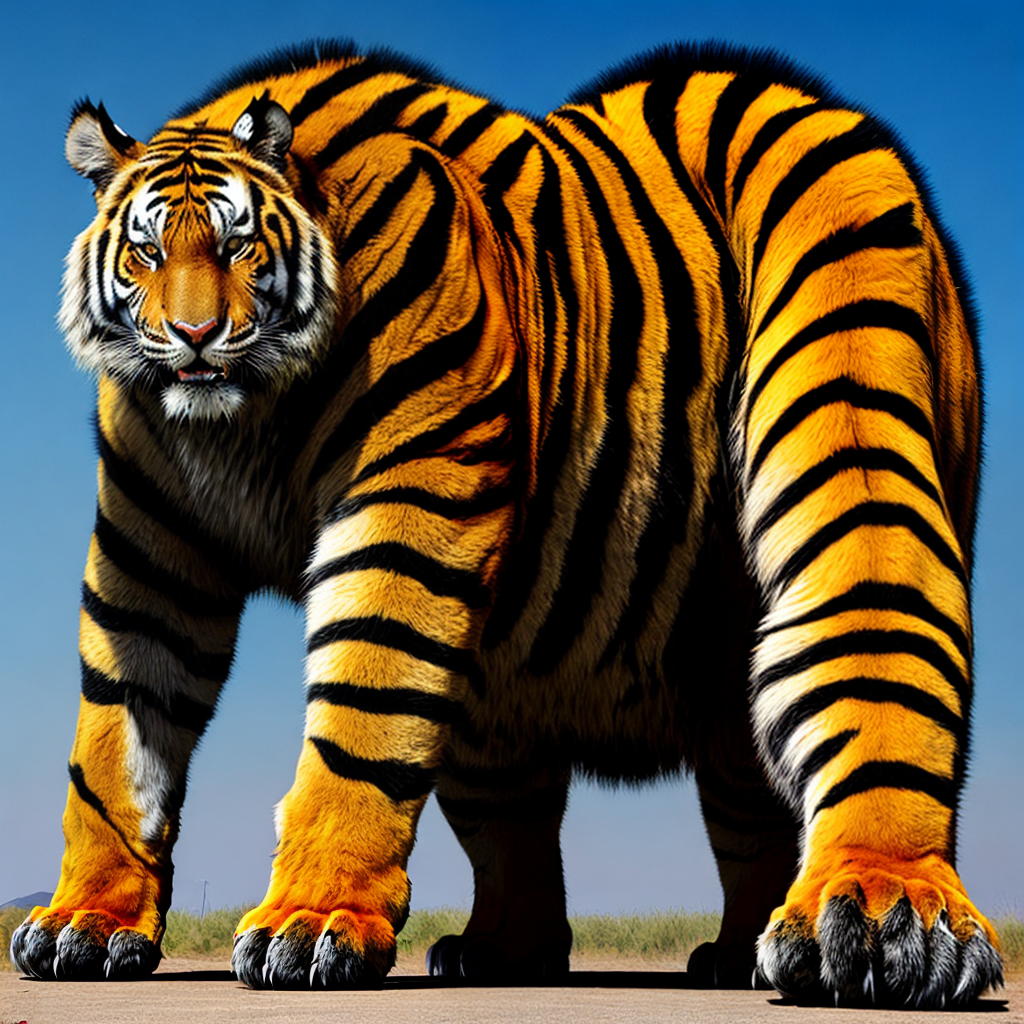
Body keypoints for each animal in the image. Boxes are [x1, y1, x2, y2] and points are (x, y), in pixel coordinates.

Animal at [9, 39, 1002, 1006]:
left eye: (239, 245)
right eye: (144, 254)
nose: (194, 335)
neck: (237, 424)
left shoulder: (409, 498)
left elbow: (362, 717)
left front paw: (311, 923)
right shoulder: (150, 556)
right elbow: (115, 746)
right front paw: (86, 924)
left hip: (847, 379)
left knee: (871, 648)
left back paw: (883, 920)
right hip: (525, 692)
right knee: (583, 811)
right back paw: (532, 954)